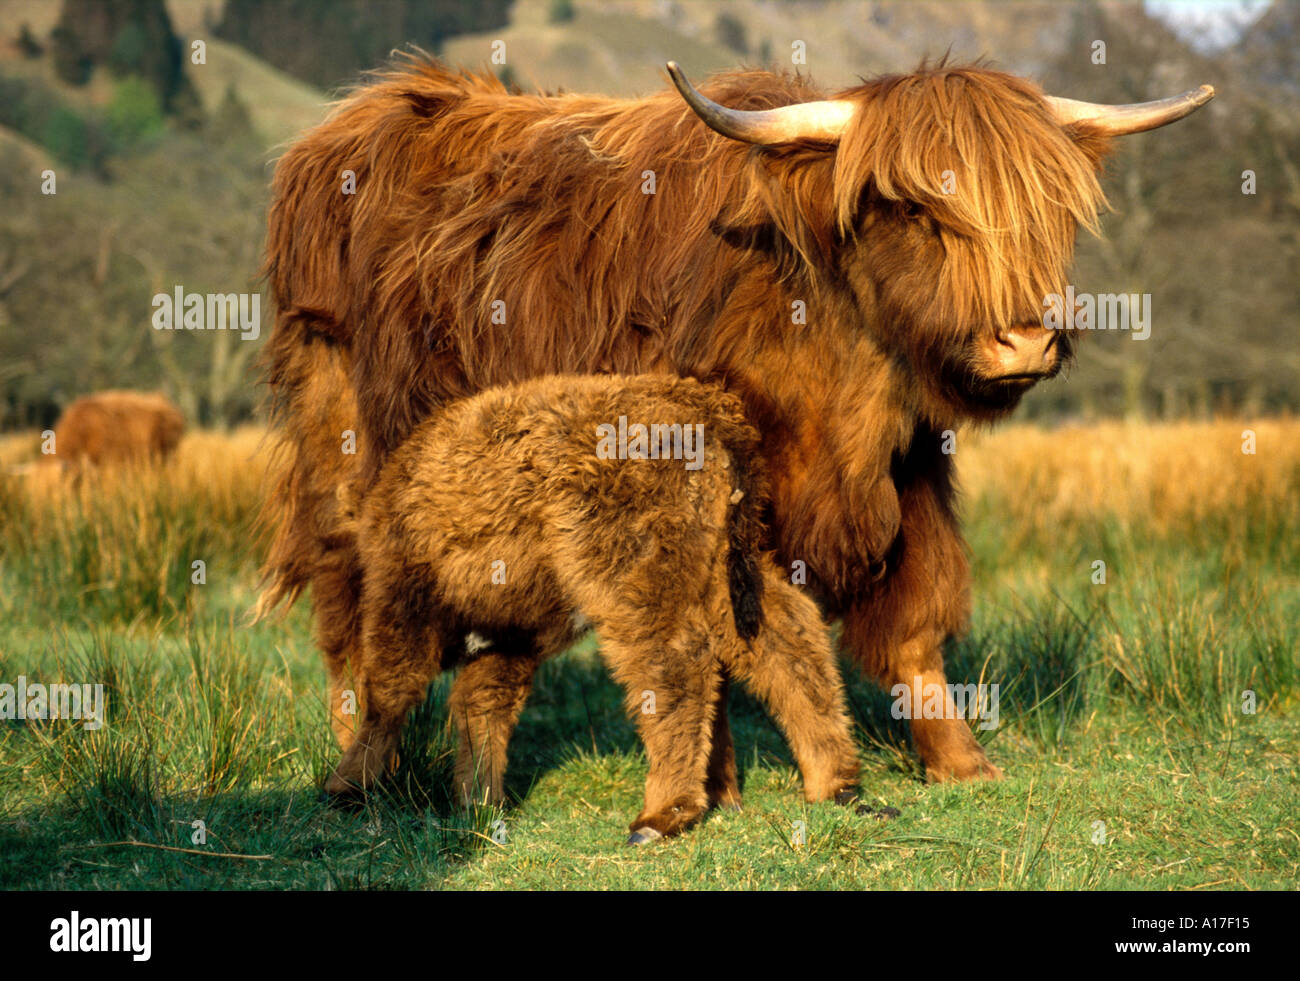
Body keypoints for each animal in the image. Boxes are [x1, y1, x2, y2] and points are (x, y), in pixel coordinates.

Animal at [324, 373, 860, 841]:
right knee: (786, 637)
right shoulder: (510, 632)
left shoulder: (405, 595)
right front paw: (478, 803)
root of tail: (706, 405)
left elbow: (391, 691)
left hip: (637, 581)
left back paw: (660, 815)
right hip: (721, 570)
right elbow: (481, 705)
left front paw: (347, 785)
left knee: (675, 664)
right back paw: (834, 782)